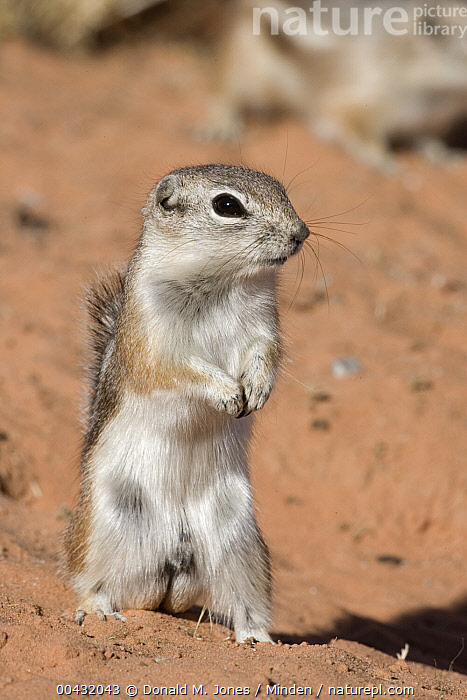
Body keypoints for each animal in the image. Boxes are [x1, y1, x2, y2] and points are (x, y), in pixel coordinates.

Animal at [65, 164, 309, 643]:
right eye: (227, 205)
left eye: (281, 189)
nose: (301, 233)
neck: (224, 281)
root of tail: (169, 574)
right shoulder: (156, 345)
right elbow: (182, 371)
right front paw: (228, 392)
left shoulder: (263, 328)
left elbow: (264, 356)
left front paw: (258, 389)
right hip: (105, 526)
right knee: (90, 580)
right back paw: (98, 610)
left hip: (242, 544)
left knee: (245, 600)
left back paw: (257, 638)